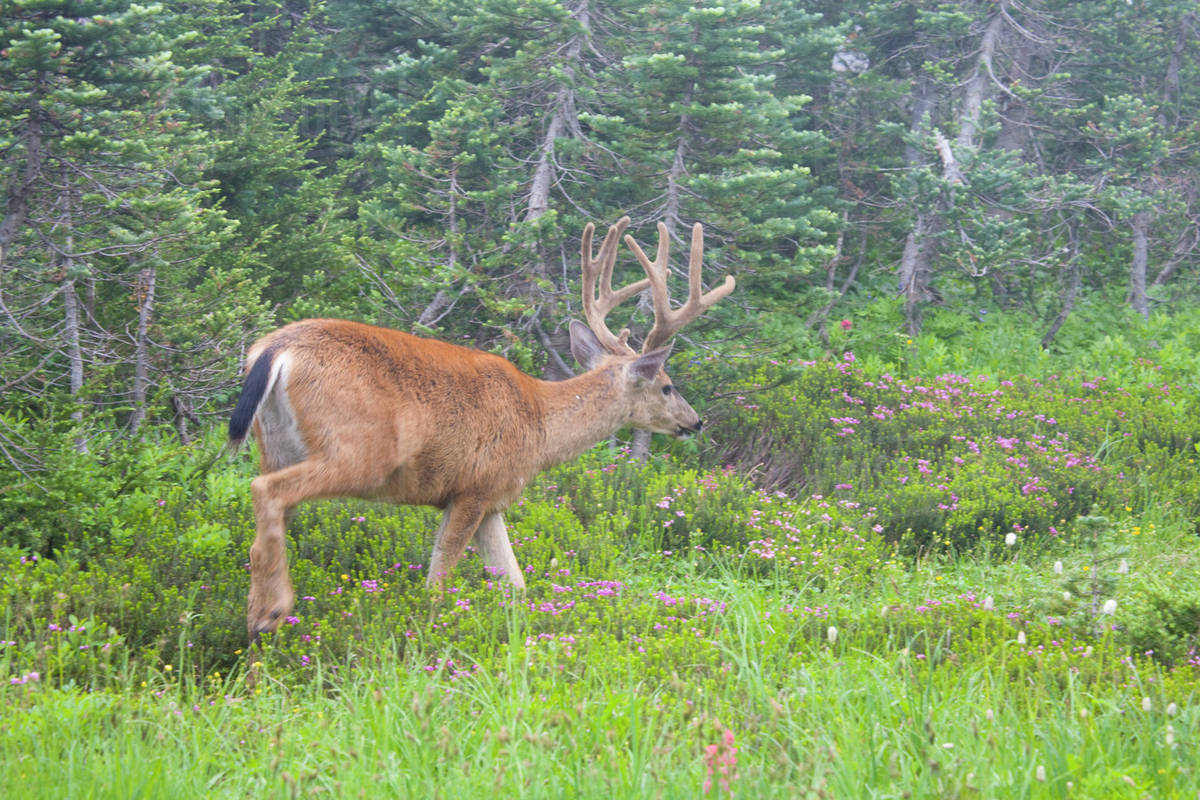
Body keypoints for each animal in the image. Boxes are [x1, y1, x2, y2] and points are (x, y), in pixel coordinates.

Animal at [228, 217, 734, 641]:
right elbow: (438, 579)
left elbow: (516, 583)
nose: (695, 421)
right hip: (357, 451)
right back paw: (273, 611)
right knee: (266, 491)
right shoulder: (472, 487)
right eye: (667, 385)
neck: (539, 425)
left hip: (274, 443)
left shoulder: (493, 500)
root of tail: (273, 351)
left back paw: (256, 628)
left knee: (264, 519)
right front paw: (431, 636)